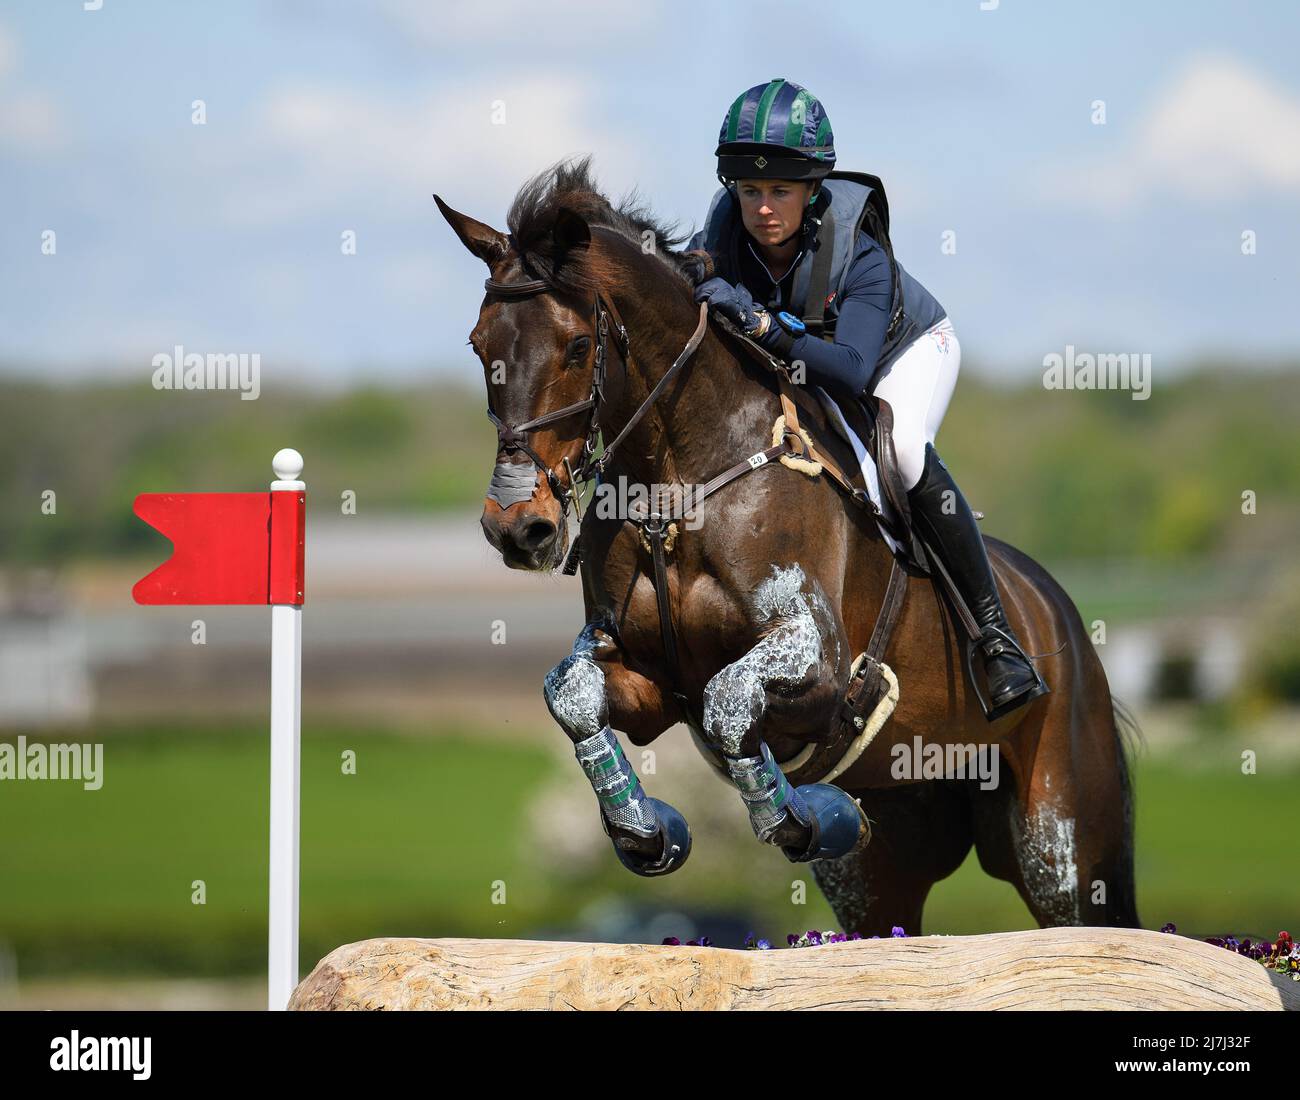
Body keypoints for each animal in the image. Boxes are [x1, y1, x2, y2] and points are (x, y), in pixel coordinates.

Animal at [434, 158, 1140, 935]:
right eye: (480, 348)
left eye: (578, 347)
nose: (516, 527)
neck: (680, 484)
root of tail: (1056, 610)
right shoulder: (647, 681)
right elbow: (572, 695)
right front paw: (646, 830)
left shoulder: (821, 668)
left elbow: (729, 698)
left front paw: (793, 817)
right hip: (883, 859)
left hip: (1059, 840)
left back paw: (1003, 668)